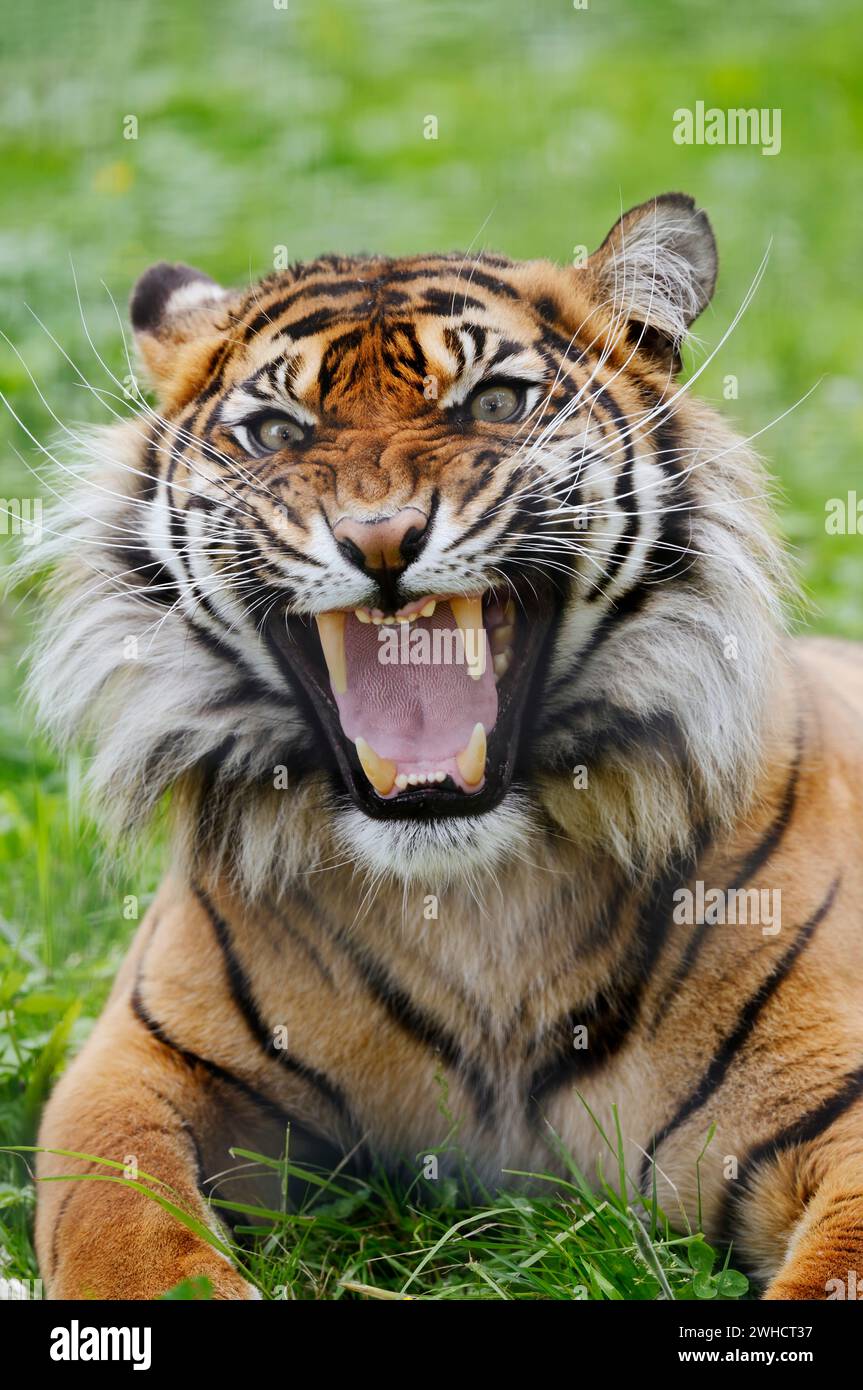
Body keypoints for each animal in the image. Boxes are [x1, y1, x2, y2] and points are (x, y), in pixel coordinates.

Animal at [25, 192, 863, 1301]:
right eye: (276, 430)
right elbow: (119, 1220)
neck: (472, 898)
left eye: (495, 403)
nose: (379, 540)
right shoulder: (131, 1064)